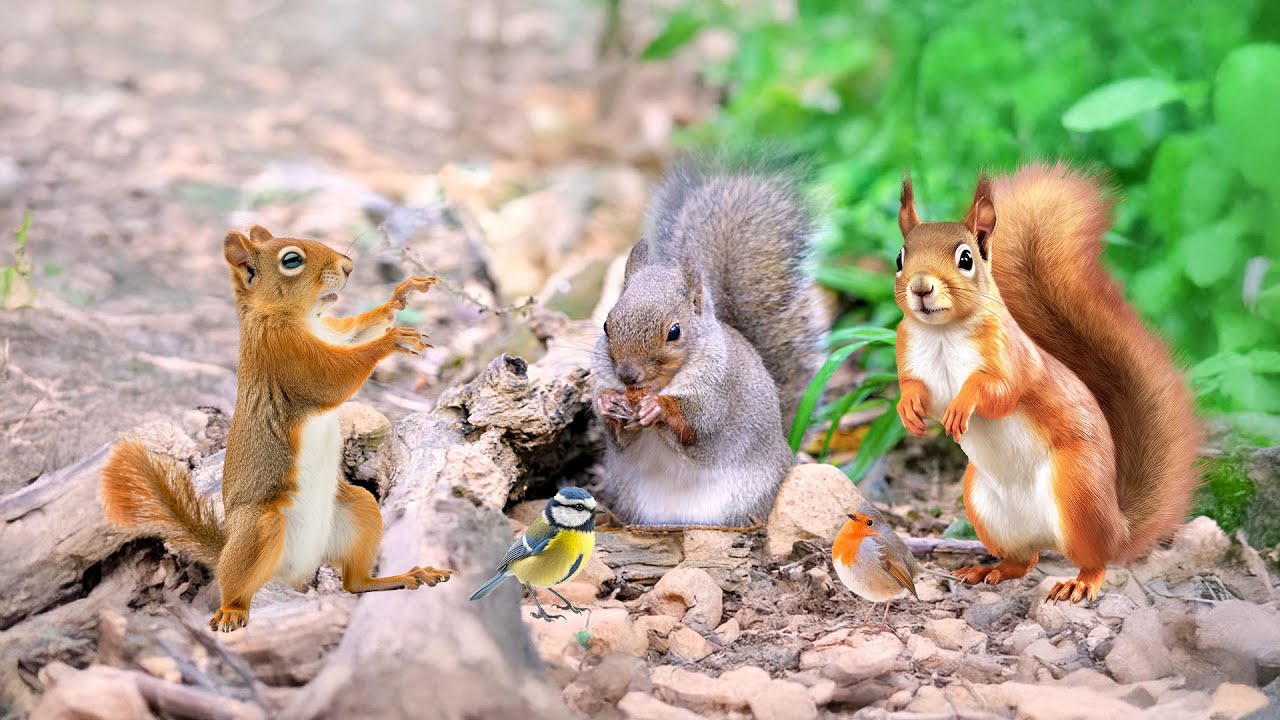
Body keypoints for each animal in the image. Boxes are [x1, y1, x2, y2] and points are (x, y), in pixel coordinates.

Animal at [100, 225, 454, 632]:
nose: (348, 267)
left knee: (354, 583)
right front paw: (391, 339)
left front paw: (400, 296)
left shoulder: (332, 333)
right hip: (261, 525)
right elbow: (333, 380)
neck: (295, 317)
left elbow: (356, 331)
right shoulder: (284, 355)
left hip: (359, 507)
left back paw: (407, 575)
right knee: (236, 584)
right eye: (292, 260)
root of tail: (295, 571)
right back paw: (232, 611)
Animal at [592, 161, 824, 526]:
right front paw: (608, 403)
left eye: (674, 332)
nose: (627, 376)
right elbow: (621, 441)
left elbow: (699, 427)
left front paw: (658, 408)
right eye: (606, 325)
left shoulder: (719, 396)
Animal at [893, 164, 1199, 603]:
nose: (920, 286)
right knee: (1025, 560)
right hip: (984, 505)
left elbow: (999, 392)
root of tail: (1118, 526)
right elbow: (915, 388)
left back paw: (1080, 582)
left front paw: (962, 404)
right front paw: (908, 409)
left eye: (965, 258)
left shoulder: (1013, 358)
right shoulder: (911, 355)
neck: (941, 335)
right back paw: (986, 570)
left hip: (1077, 492)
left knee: (1095, 559)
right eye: (899, 256)